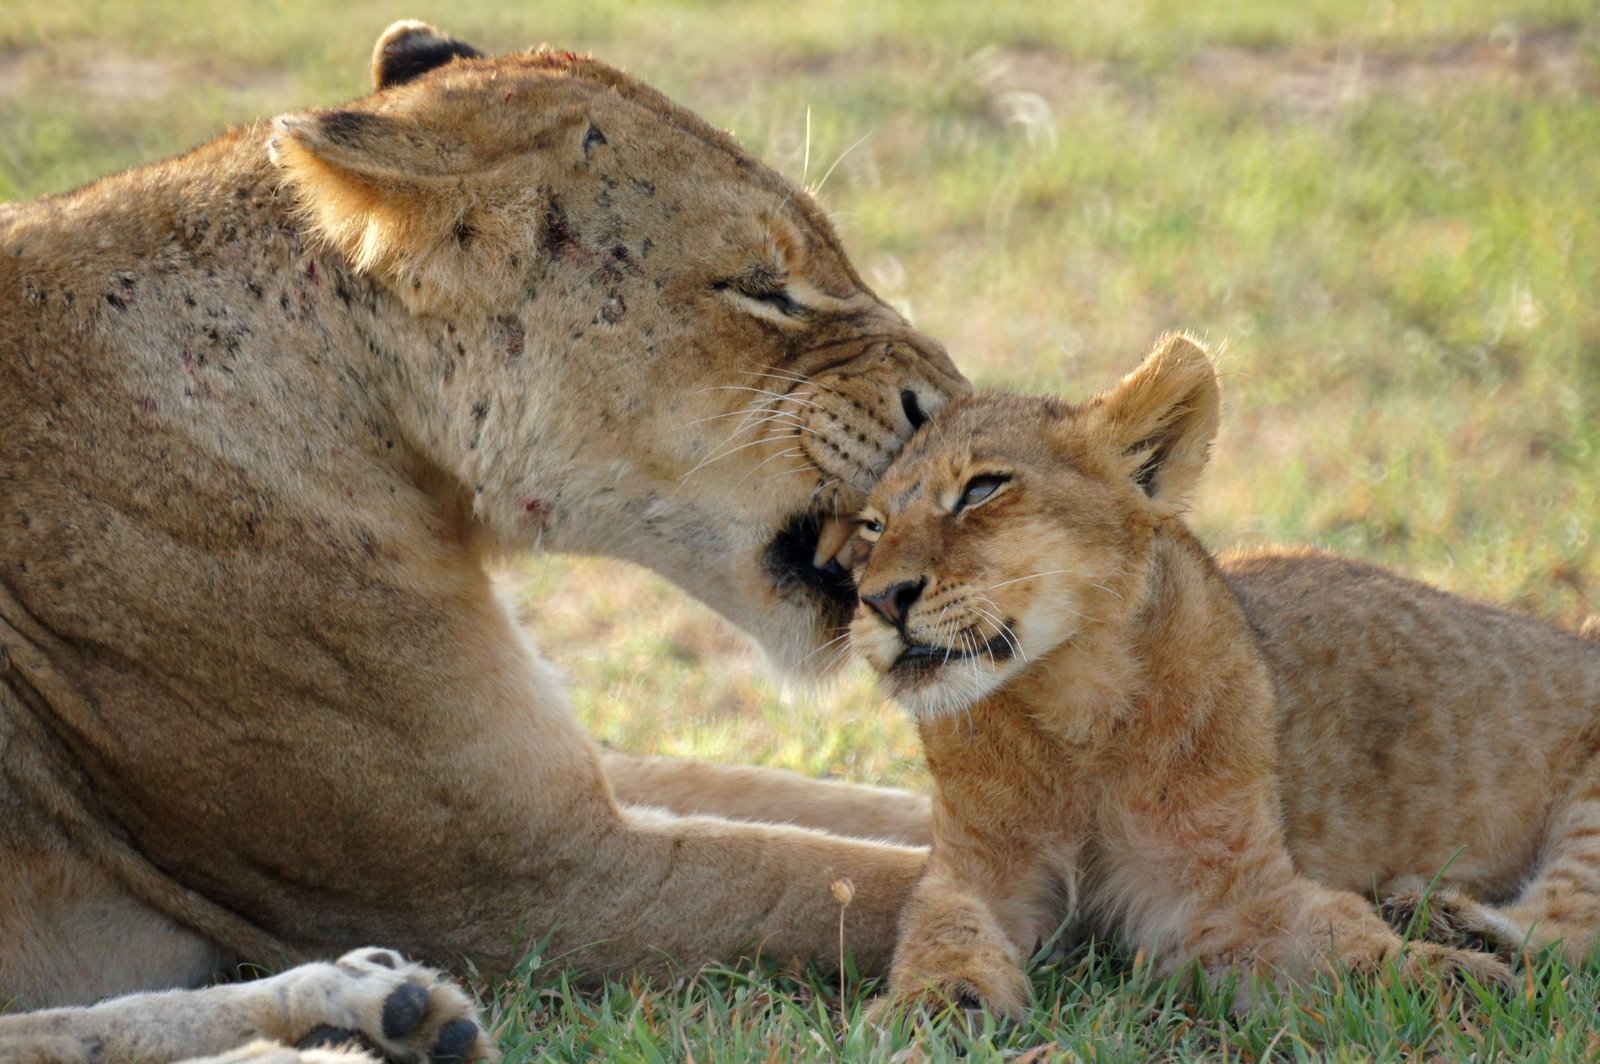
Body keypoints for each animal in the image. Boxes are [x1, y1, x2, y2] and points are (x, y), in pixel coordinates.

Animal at [0, 20, 966, 1062]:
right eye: (763, 288)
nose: (957, 406)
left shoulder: (563, 783)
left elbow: (850, 809)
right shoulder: (531, 880)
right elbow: (857, 884)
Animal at [847, 334, 1600, 1016]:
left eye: (981, 488)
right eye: (871, 528)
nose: (881, 600)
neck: (1071, 708)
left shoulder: (1221, 891)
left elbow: (1341, 940)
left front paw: (1449, 978)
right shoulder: (978, 871)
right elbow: (945, 927)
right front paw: (934, 1005)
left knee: (1570, 928)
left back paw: (1453, 920)